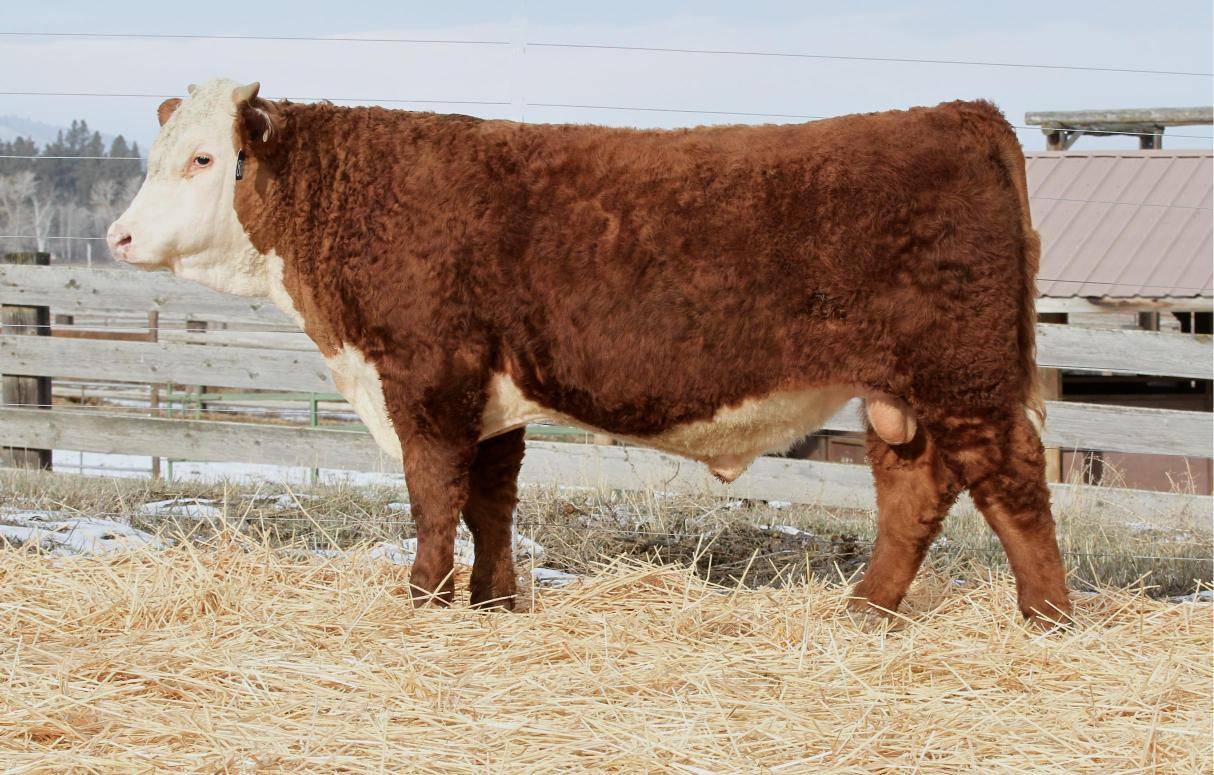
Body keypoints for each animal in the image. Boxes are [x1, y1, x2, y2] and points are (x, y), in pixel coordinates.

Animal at [108, 78, 1071, 625]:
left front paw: (422, 601)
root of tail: (962, 115)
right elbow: (490, 501)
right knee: (915, 491)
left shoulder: (427, 376)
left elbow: (432, 495)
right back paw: (866, 610)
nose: (117, 236)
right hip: (899, 393)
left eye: (203, 158)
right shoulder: (489, 392)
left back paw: (1048, 617)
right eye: (156, 154)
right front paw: (493, 600)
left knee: (1014, 482)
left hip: (964, 375)